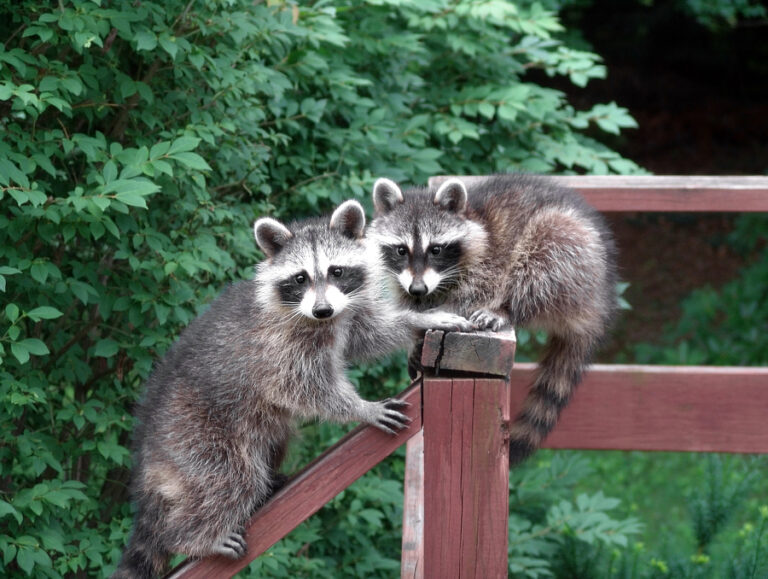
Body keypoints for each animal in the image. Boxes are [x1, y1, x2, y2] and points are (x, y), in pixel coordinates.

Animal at [114, 200, 472, 578]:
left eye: (336, 272)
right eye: (301, 278)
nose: (322, 309)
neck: (321, 318)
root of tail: (148, 450)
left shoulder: (345, 310)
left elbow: (370, 334)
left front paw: (418, 320)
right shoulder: (278, 345)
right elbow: (300, 387)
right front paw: (361, 407)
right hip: (194, 434)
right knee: (230, 478)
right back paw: (191, 536)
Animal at [369, 174, 618, 466]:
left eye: (436, 249)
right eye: (401, 250)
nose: (418, 289)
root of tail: (599, 301)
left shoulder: (488, 260)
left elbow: (477, 291)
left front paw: (441, 312)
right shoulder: (403, 281)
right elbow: (408, 302)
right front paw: (416, 331)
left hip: (575, 255)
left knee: (541, 259)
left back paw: (507, 308)